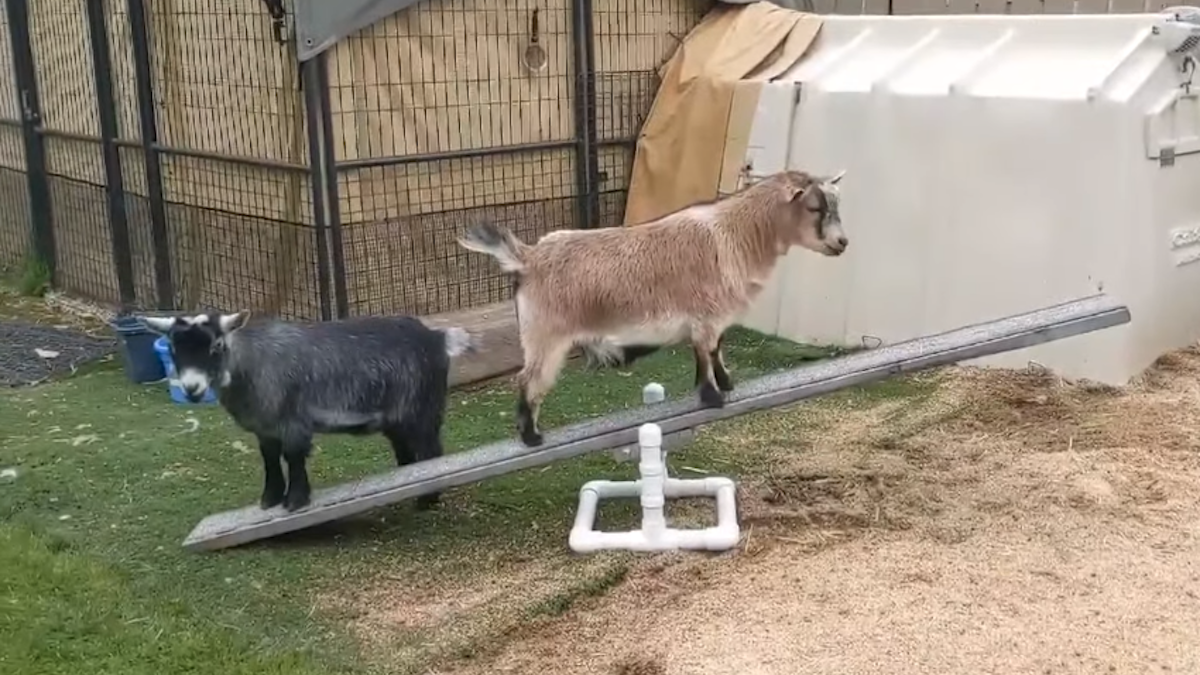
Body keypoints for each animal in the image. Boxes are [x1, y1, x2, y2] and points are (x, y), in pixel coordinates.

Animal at [137, 311, 475, 512]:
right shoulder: (266, 429)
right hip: (398, 420)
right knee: (408, 454)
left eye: (216, 346)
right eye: (173, 348)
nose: (192, 388)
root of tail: (437, 337)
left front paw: (295, 501)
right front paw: (270, 499)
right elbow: (270, 460)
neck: (252, 364)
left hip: (422, 410)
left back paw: (427, 499)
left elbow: (293, 457)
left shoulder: (293, 423)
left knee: (431, 452)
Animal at [457, 168, 850, 447]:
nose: (843, 242)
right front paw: (713, 396)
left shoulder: (713, 317)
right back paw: (531, 437)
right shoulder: (706, 314)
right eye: (815, 207)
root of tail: (528, 257)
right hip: (545, 337)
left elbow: (713, 351)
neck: (736, 234)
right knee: (528, 380)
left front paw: (724, 385)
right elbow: (707, 351)